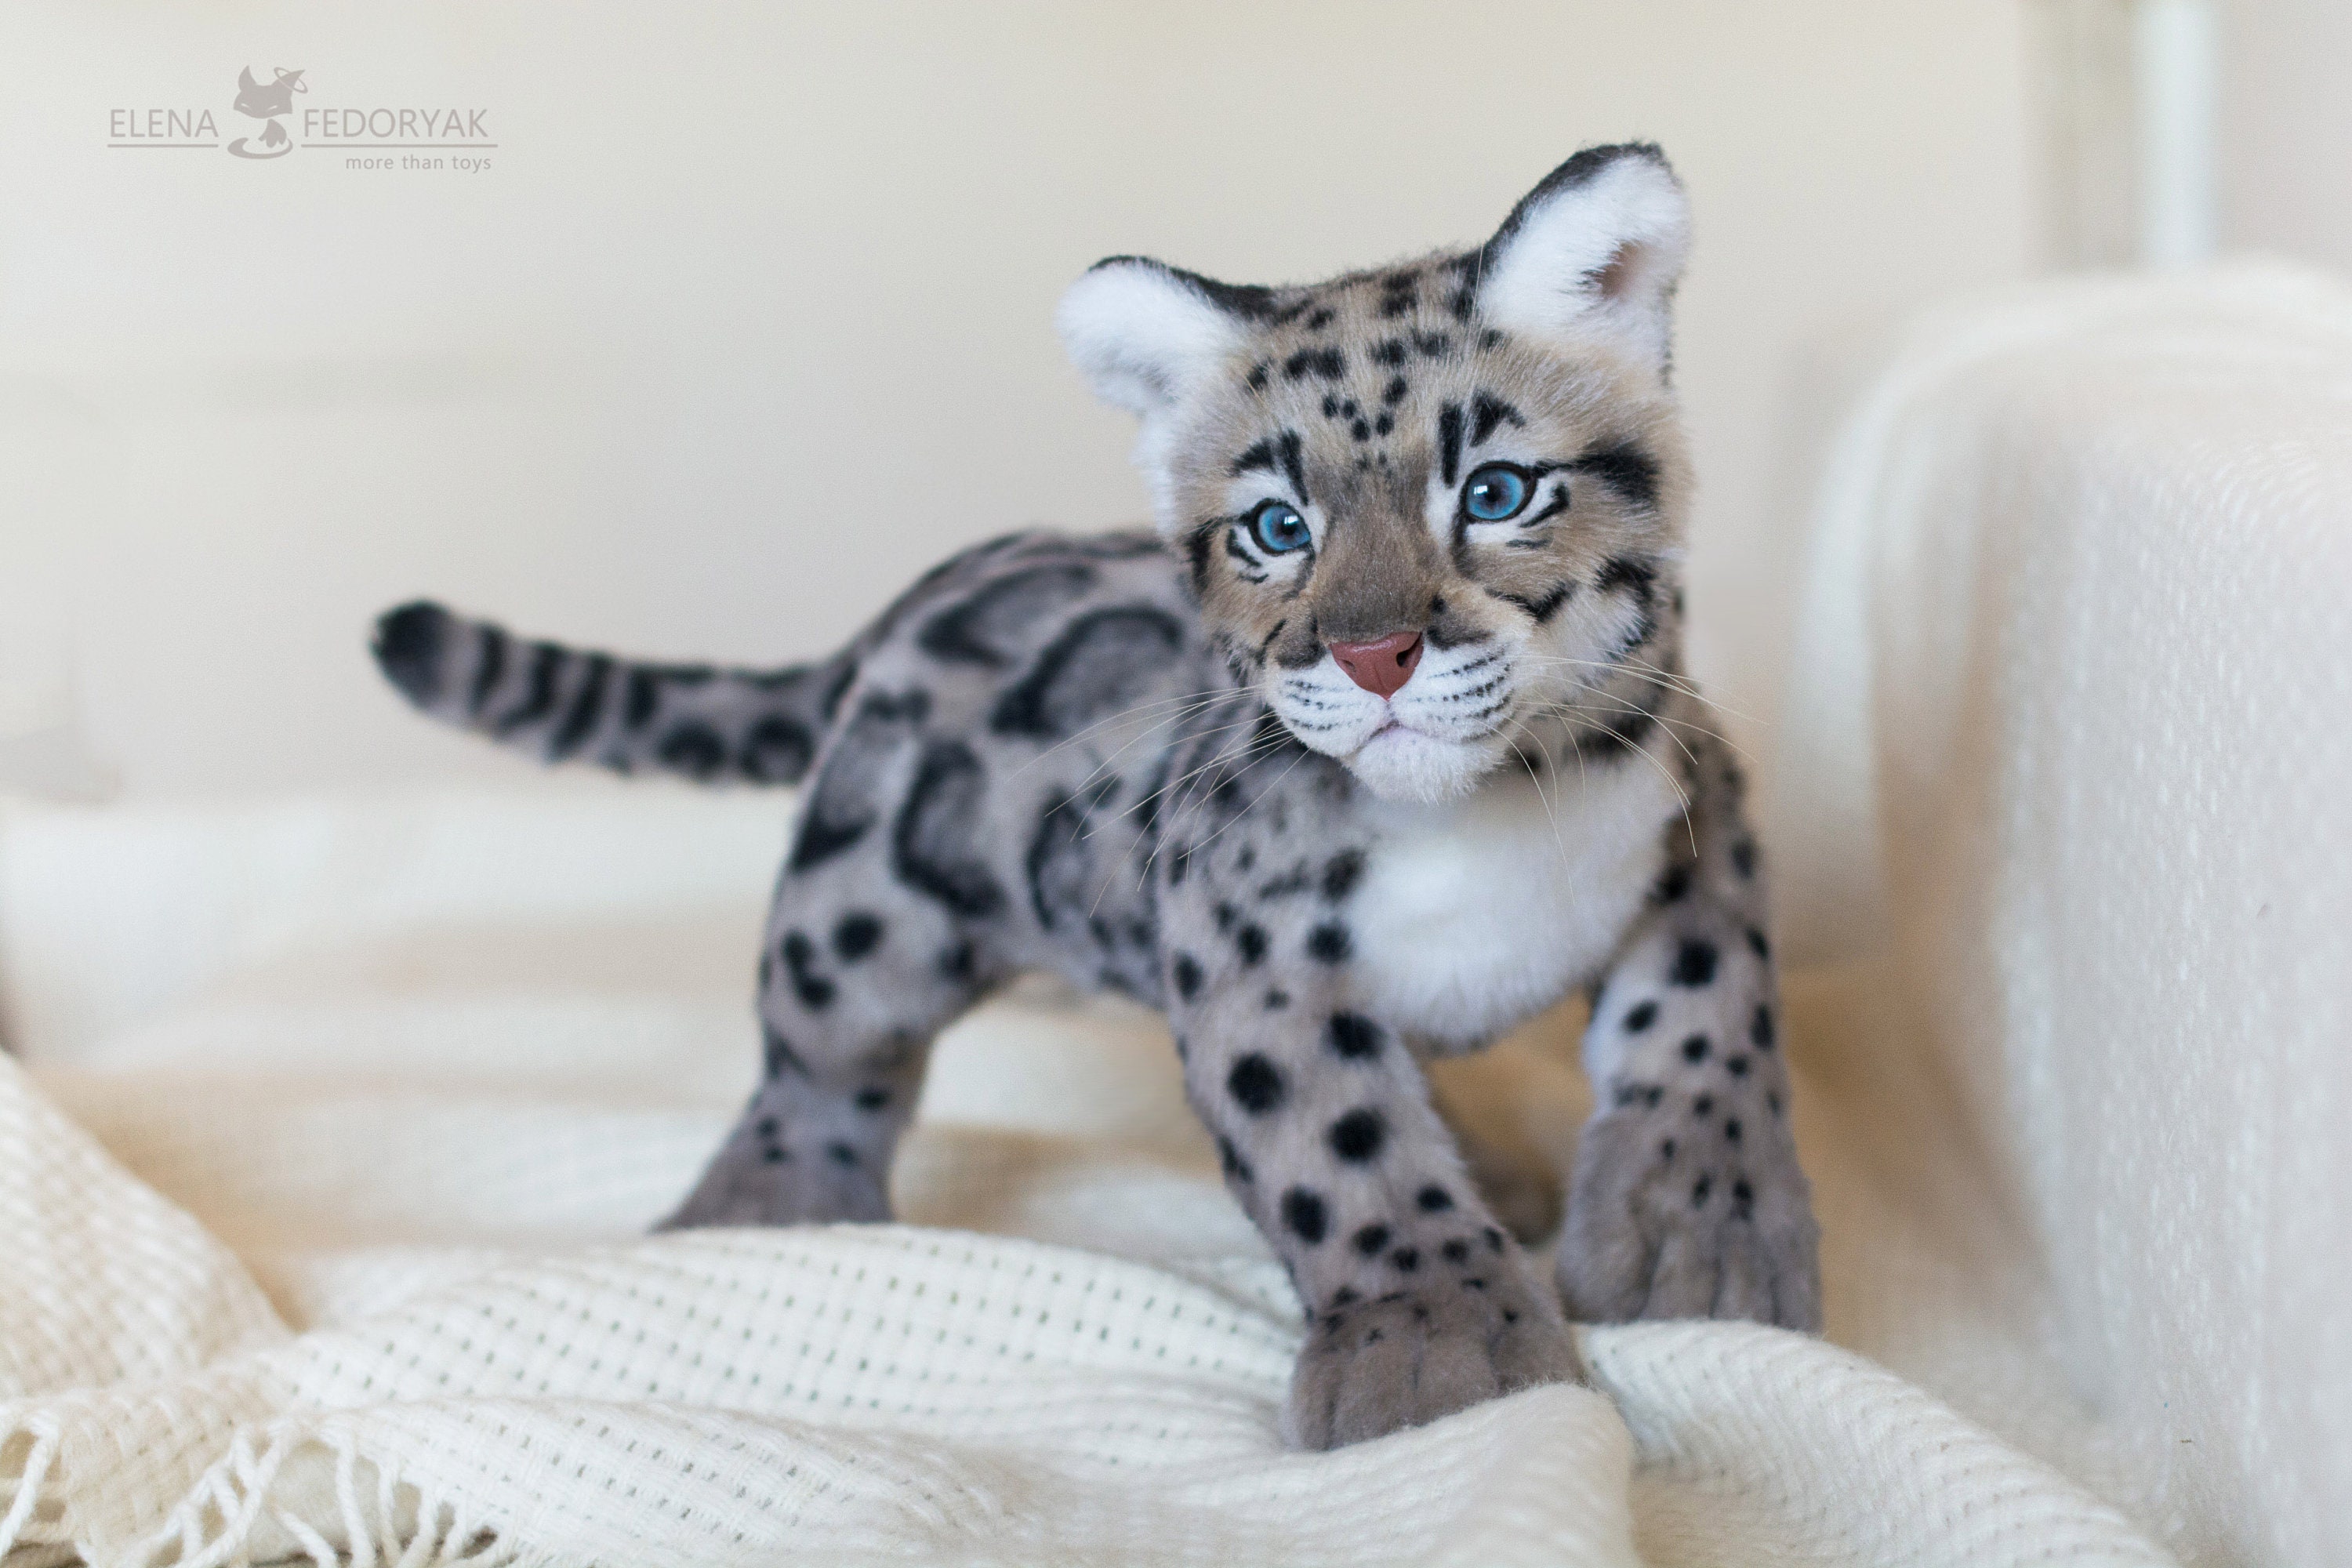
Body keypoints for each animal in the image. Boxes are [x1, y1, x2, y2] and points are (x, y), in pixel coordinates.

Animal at [370, 142, 1820, 1450]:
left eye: (1497, 490)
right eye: (1276, 527)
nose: (1371, 654)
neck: (1482, 818)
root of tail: (927, 587)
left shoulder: (1699, 811)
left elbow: (1710, 1021)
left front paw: (1697, 1239)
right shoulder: (1249, 952)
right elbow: (1336, 1140)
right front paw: (1438, 1342)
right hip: (858, 911)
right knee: (817, 1061)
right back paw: (752, 1221)